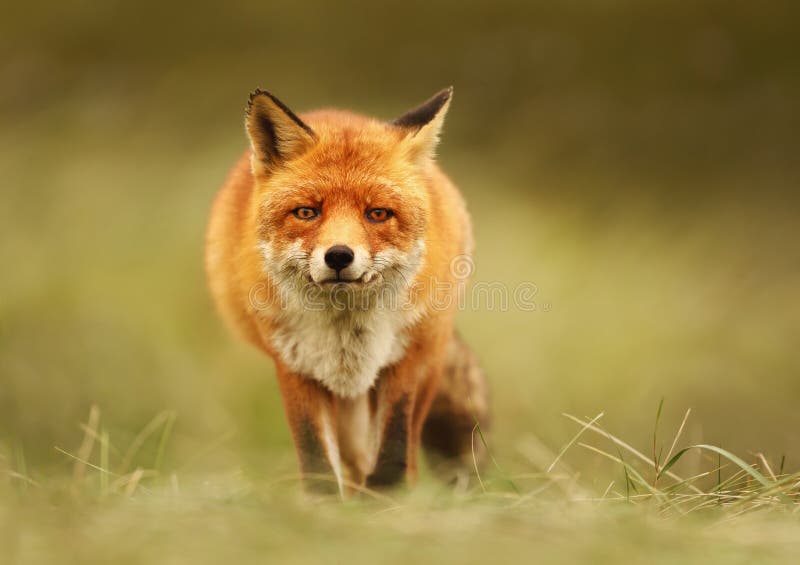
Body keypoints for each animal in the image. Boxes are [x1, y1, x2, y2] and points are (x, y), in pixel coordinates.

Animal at [205, 87, 489, 494]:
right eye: (307, 212)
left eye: (378, 214)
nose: (339, 255)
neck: (347, 332)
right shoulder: (295, 365)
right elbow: (317, 460)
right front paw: (329, 504)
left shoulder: (408, 360)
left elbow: (395, 447)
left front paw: (387, 498)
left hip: (425, 358)